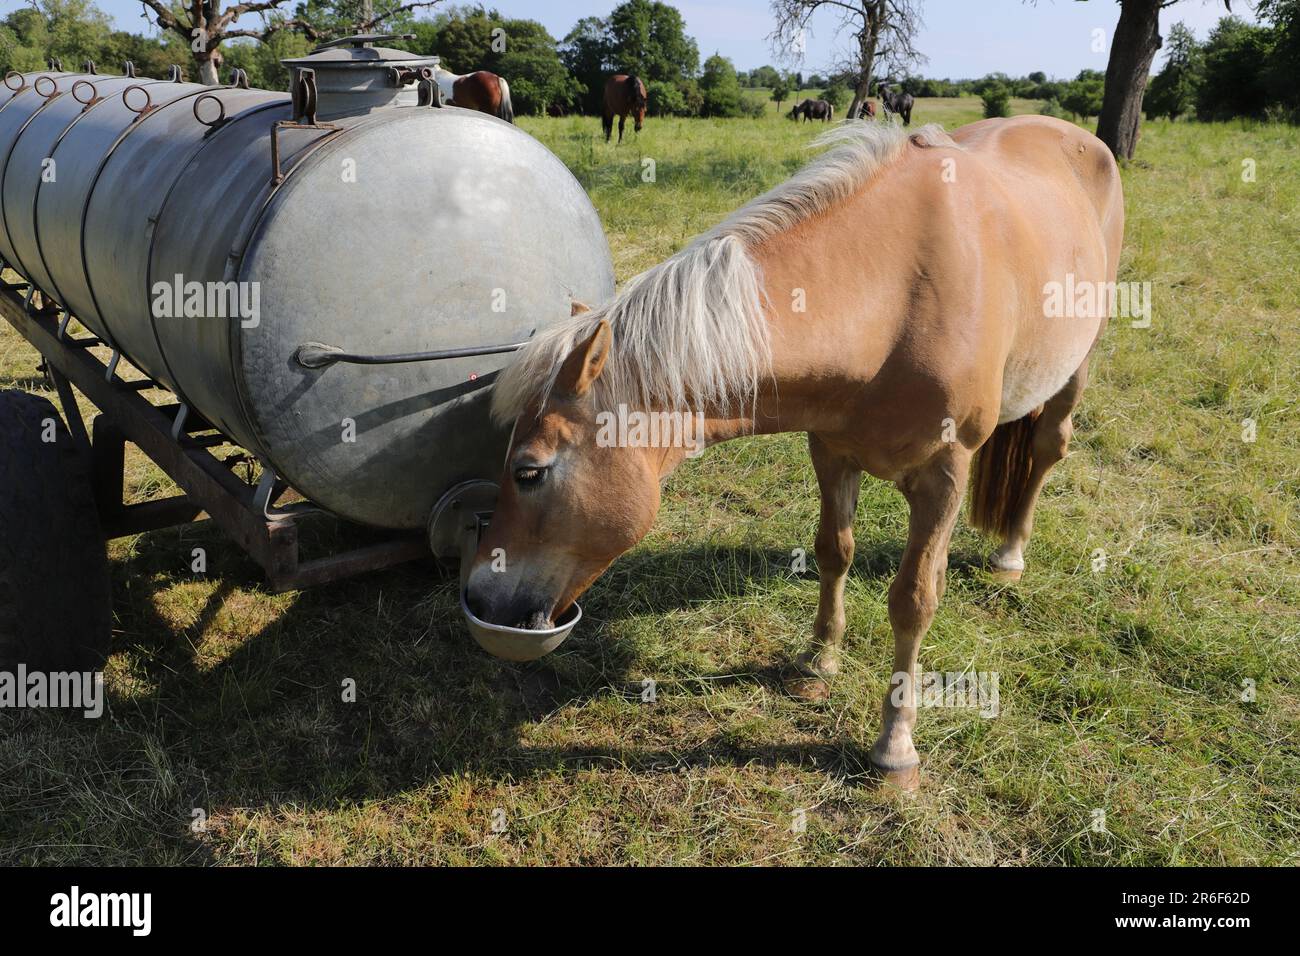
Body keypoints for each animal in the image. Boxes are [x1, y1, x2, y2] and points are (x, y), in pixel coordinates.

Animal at [471, 116, 1124, 790]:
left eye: (528, 472)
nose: (478, 597)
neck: (896, 298)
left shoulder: (945, 473)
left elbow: (913, 602)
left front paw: (896, 747)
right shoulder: (831, 450)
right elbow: (834, 552)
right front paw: (819, 660)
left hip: (1078, 364)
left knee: (1046, 450)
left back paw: (1011, 553)